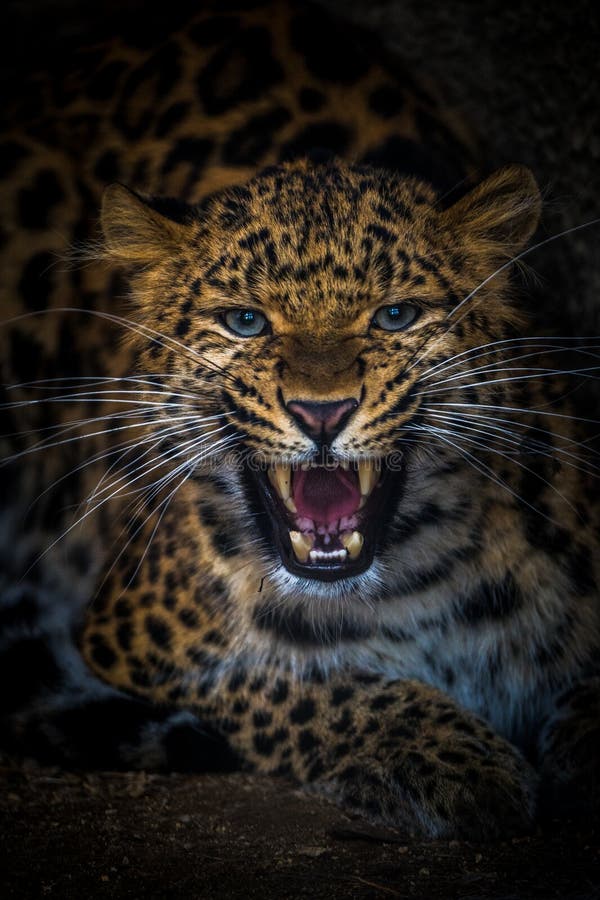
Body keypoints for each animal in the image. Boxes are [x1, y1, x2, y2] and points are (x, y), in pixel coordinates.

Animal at [1, 0, 599, 840]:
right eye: (246, 321)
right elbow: (306, 684)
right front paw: (458, 761)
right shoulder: (132, 631)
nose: (322, 411)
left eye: (396, 316)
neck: (408, 583)